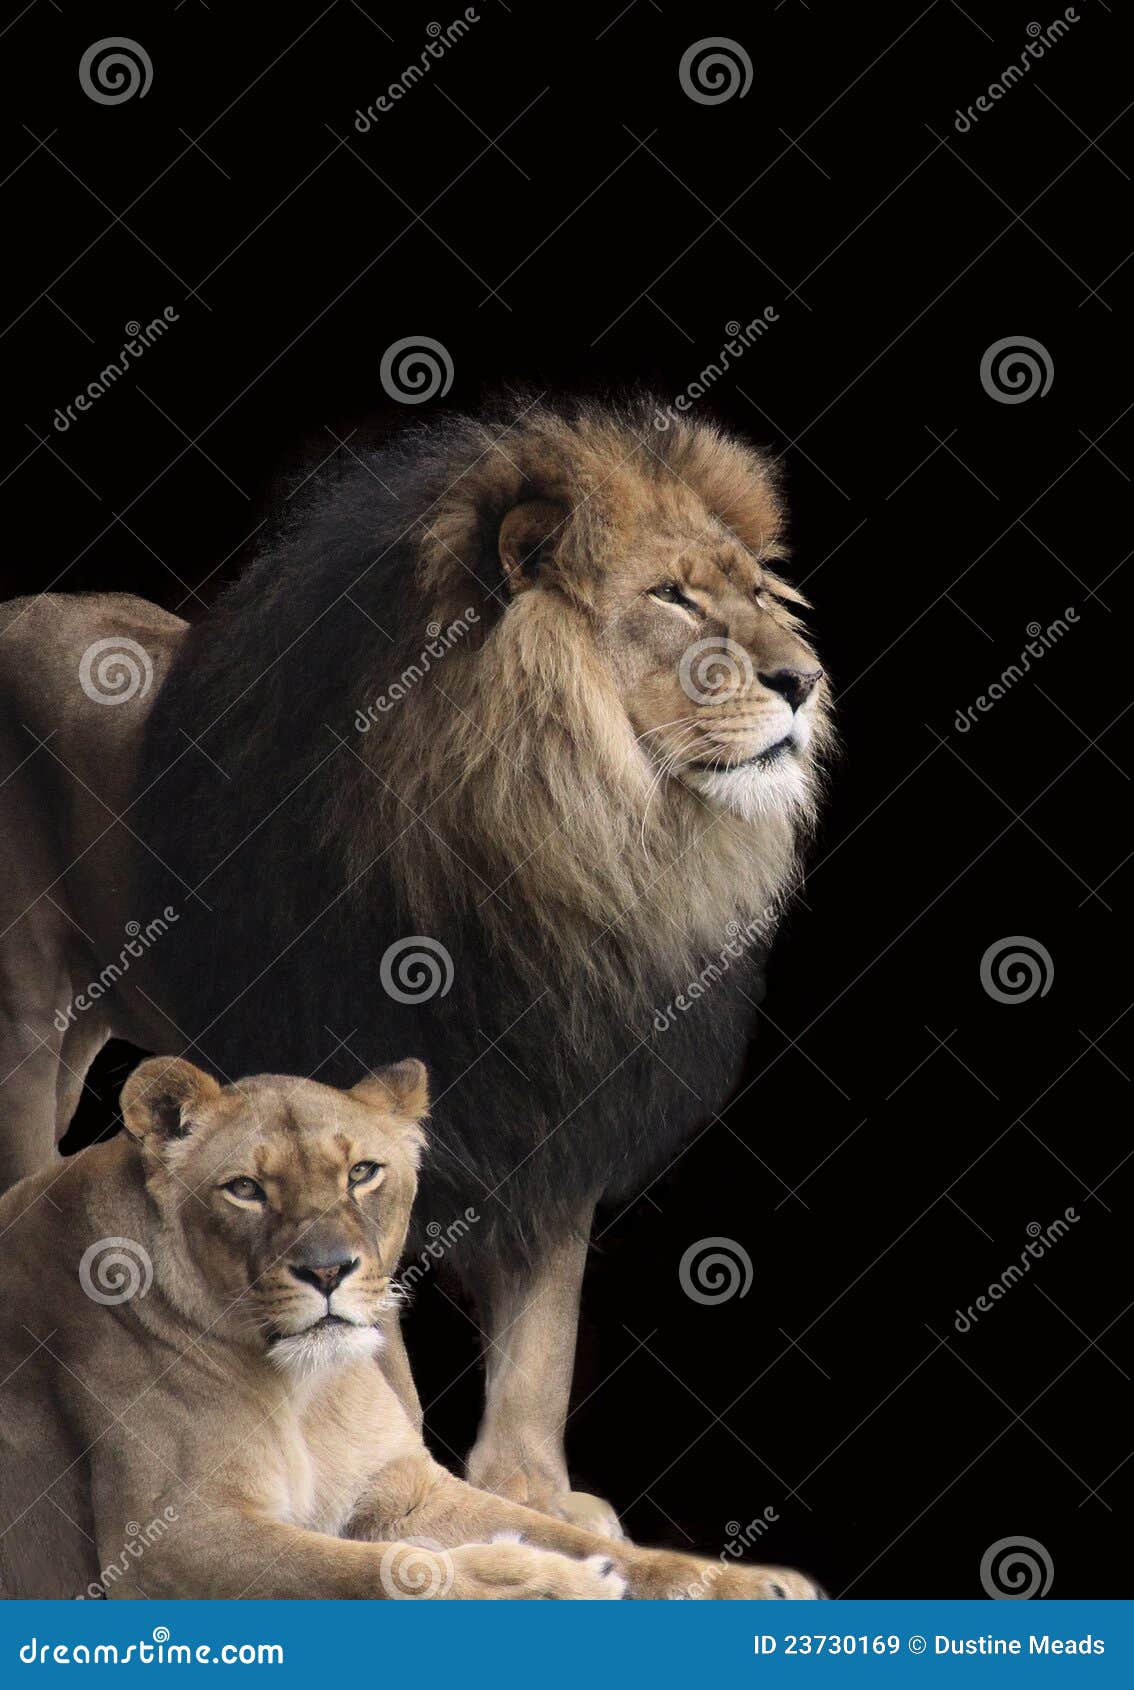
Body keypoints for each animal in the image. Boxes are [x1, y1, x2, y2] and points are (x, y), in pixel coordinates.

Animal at [0, 396, 830, 1534]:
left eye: (755, 590)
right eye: (670, 595)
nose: (804, 679)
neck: (570, 851)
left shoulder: (560, 1106)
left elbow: (543, 1334)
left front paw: (534, 1494)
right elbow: (369, 1324)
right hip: (21, 1015)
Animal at [0, 1055, 821, 1601]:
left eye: (362, 1172)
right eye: (245, 1189)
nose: (328, 1270)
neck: (304, 1387)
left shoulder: (406, 1494)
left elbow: (558, 1530)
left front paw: (736, 1583)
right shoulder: (163, 1541)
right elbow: (373, 1571)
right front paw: (543, 1584)